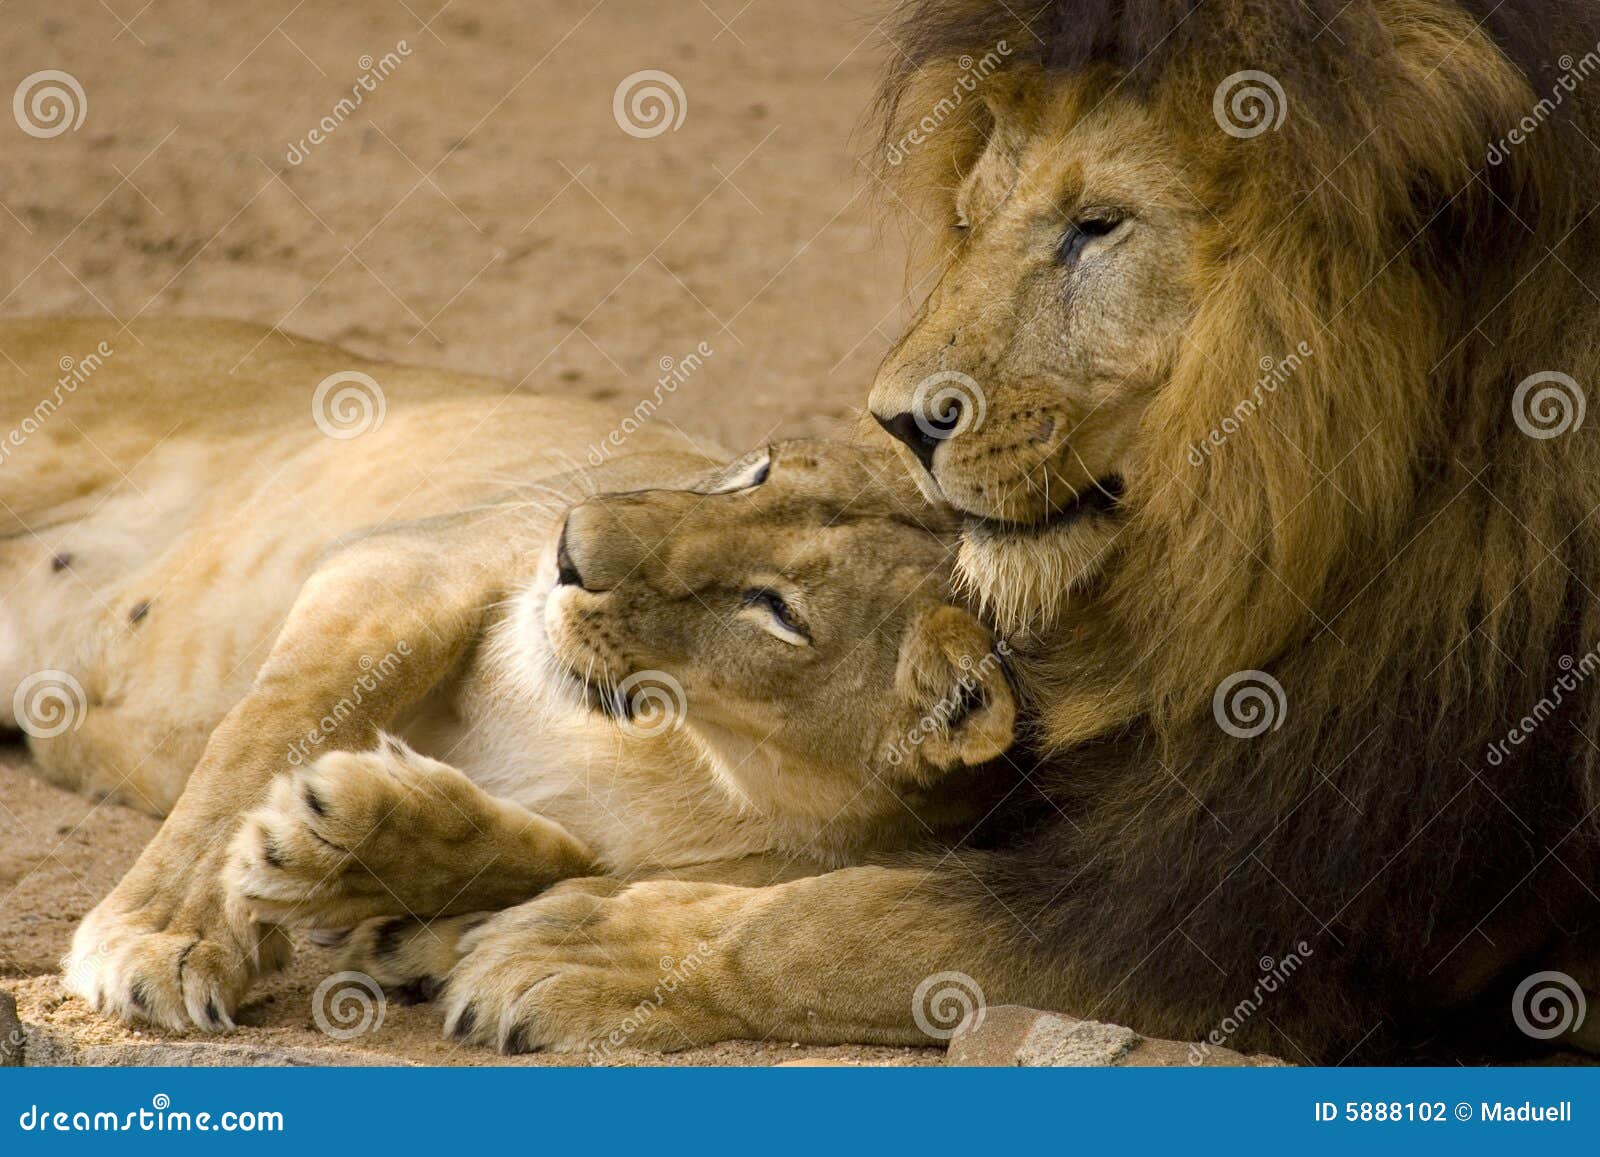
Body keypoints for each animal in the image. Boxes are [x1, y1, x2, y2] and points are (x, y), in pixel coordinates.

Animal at [0, 317, 1018, 1035]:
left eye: (775, 609)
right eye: (753, 474)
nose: (569, 546)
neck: (701, 761)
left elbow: (564, 863)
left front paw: (371, 862)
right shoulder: (407, 564)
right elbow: (261, 740)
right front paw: (162, 934)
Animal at [308, 0, 1599, 1060]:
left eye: (1097, 225)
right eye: (974, 217)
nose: (900, 419)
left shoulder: (1276, 907)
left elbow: (855, 920)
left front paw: (588, 945)